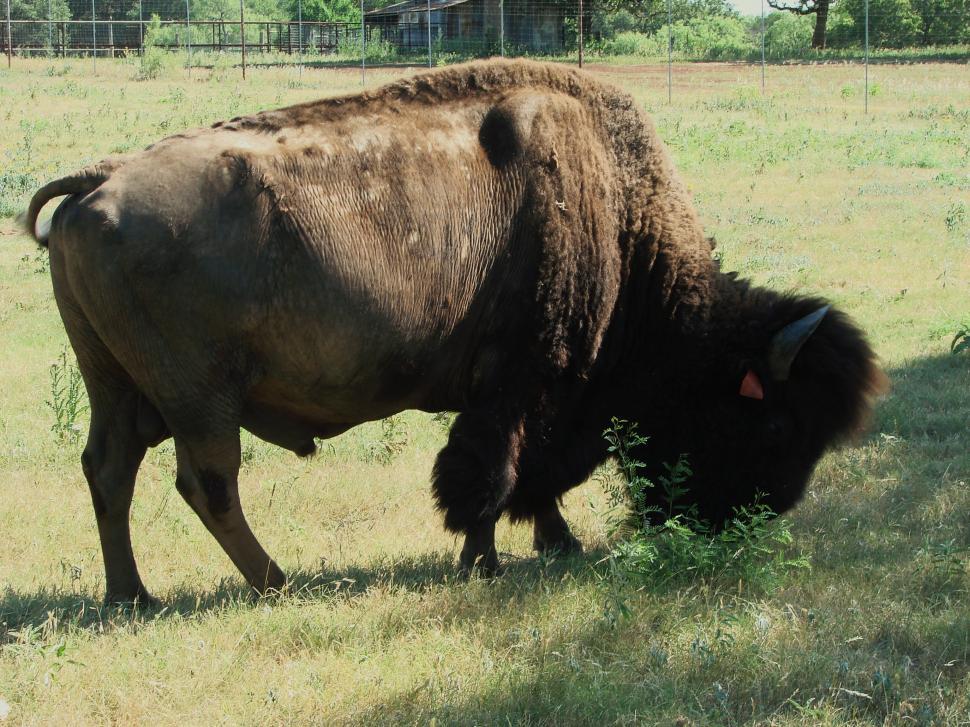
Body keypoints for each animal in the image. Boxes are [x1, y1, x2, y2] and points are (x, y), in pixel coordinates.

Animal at [22, 59, 886, 605]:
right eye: (773, 422)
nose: (757, 515)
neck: (612, 210)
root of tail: (100, 177)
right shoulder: (521, 382)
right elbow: (493, 472)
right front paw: (484, 562)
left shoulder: (537, 391)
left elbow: (529, 479)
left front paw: (556, 542)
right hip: (199, 398)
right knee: (208, 482)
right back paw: (276, 582)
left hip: (117, 386)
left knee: (109, 469)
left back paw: (132, 594)